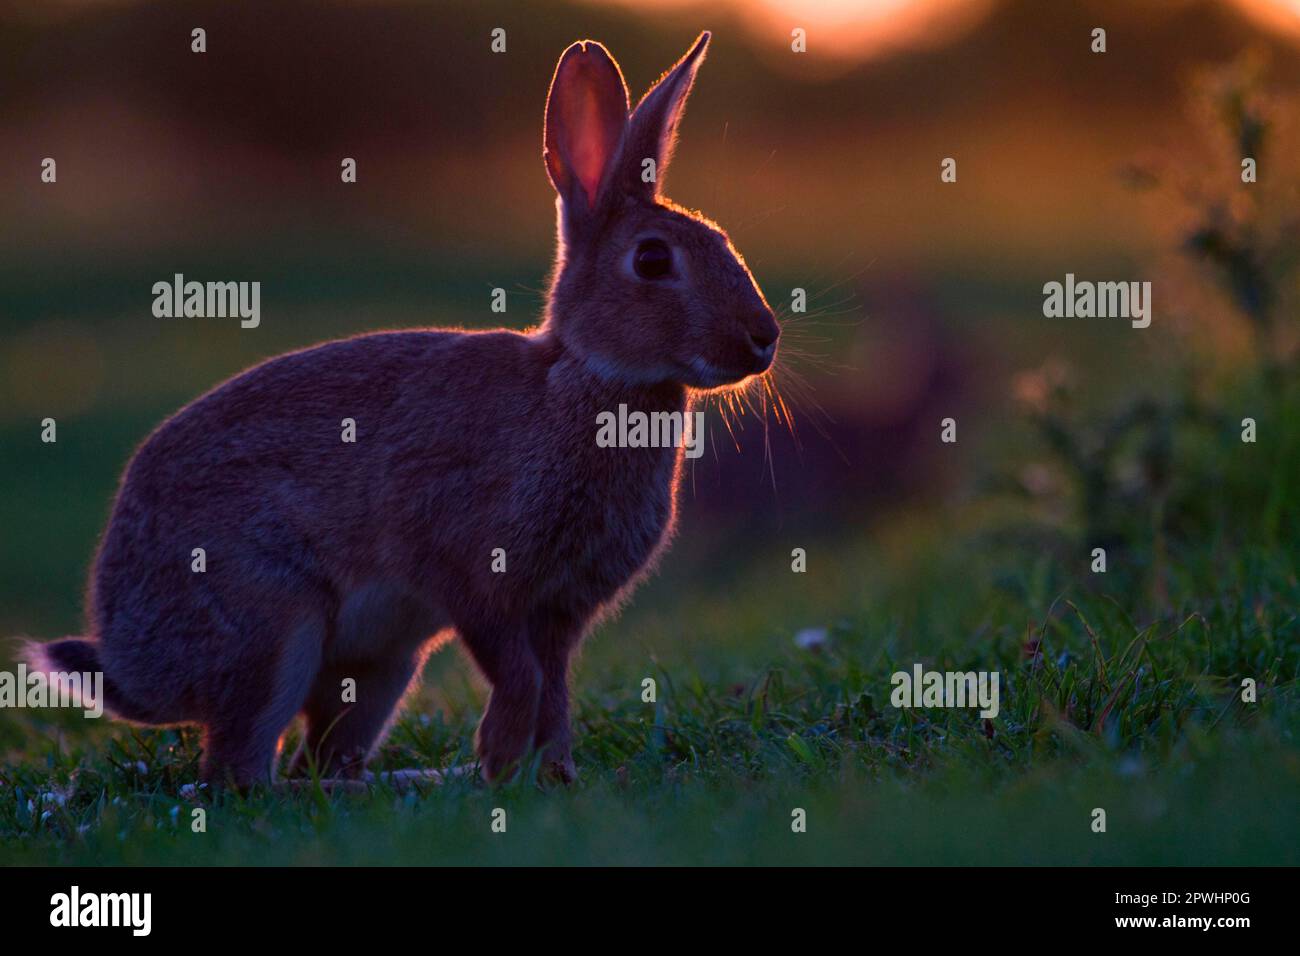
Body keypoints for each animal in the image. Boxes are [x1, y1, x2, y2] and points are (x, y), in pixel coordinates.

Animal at [24, 30, 780, 788]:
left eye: (720, 242)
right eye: (652, 261)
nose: (763, 338)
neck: (588, 379)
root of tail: (131, 659)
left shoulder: (559, 612)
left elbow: (555, 689)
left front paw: (552, 773)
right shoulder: (469, 572)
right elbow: (521, 678)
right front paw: (500, 761)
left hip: (382, 667)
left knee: (316, 760)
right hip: (272, 623)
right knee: (245, 774)